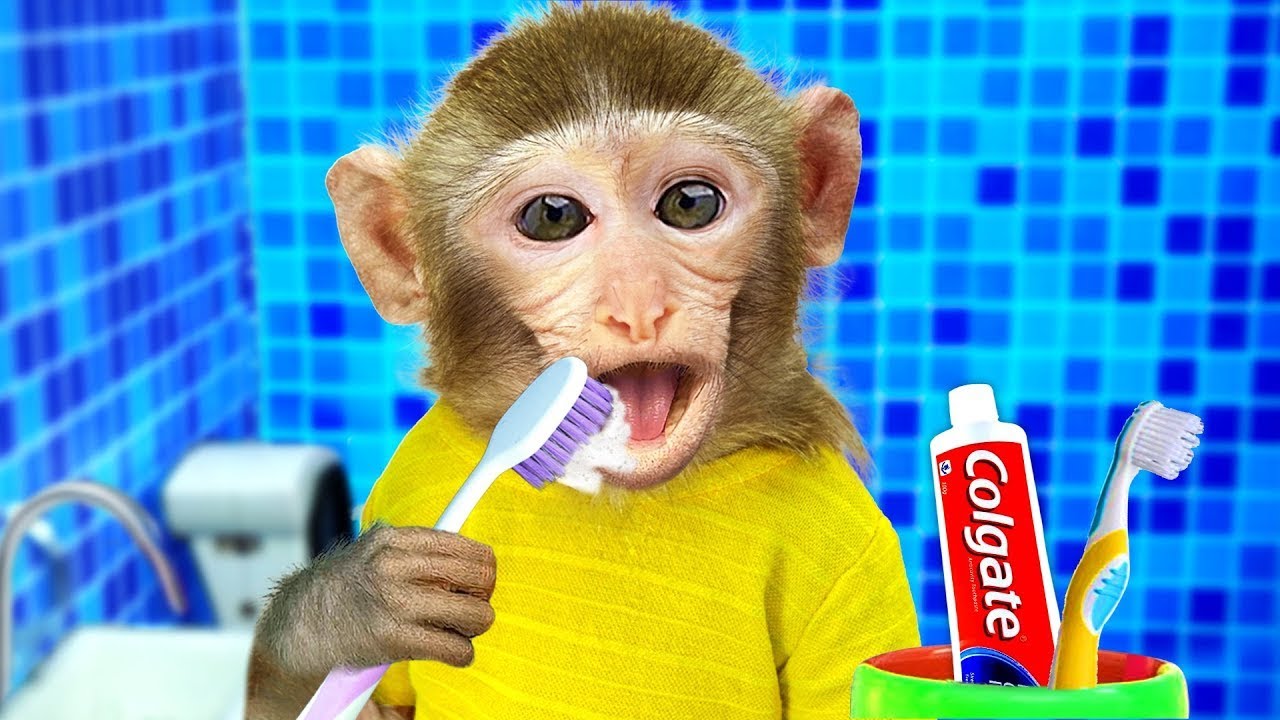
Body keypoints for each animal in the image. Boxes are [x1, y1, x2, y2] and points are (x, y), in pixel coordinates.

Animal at [245, 4, 920, 719]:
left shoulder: (855, 557)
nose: (639, 306)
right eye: (553, 216)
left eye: (690, 203)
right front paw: (340, 612)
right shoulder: (404, 483)